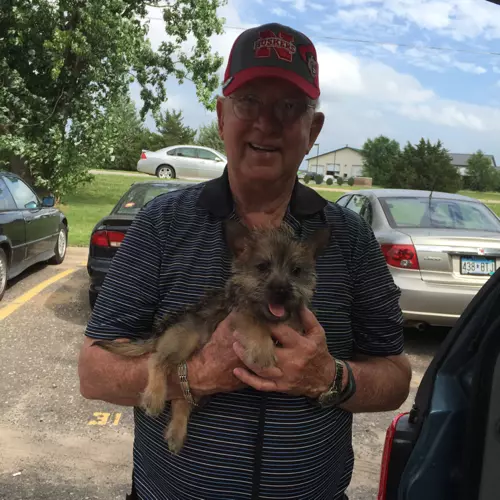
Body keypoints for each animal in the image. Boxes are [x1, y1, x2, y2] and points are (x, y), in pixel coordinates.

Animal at [93, 219, 330, 454]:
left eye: (296, 270)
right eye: (262, 266)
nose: (281, 290)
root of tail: (164, 330)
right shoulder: (239, 316)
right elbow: (255, 324)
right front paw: (263, 351)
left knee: (180, 399)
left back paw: (176, 432)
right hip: (185, 338)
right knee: (157, 360)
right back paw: (154, 397)